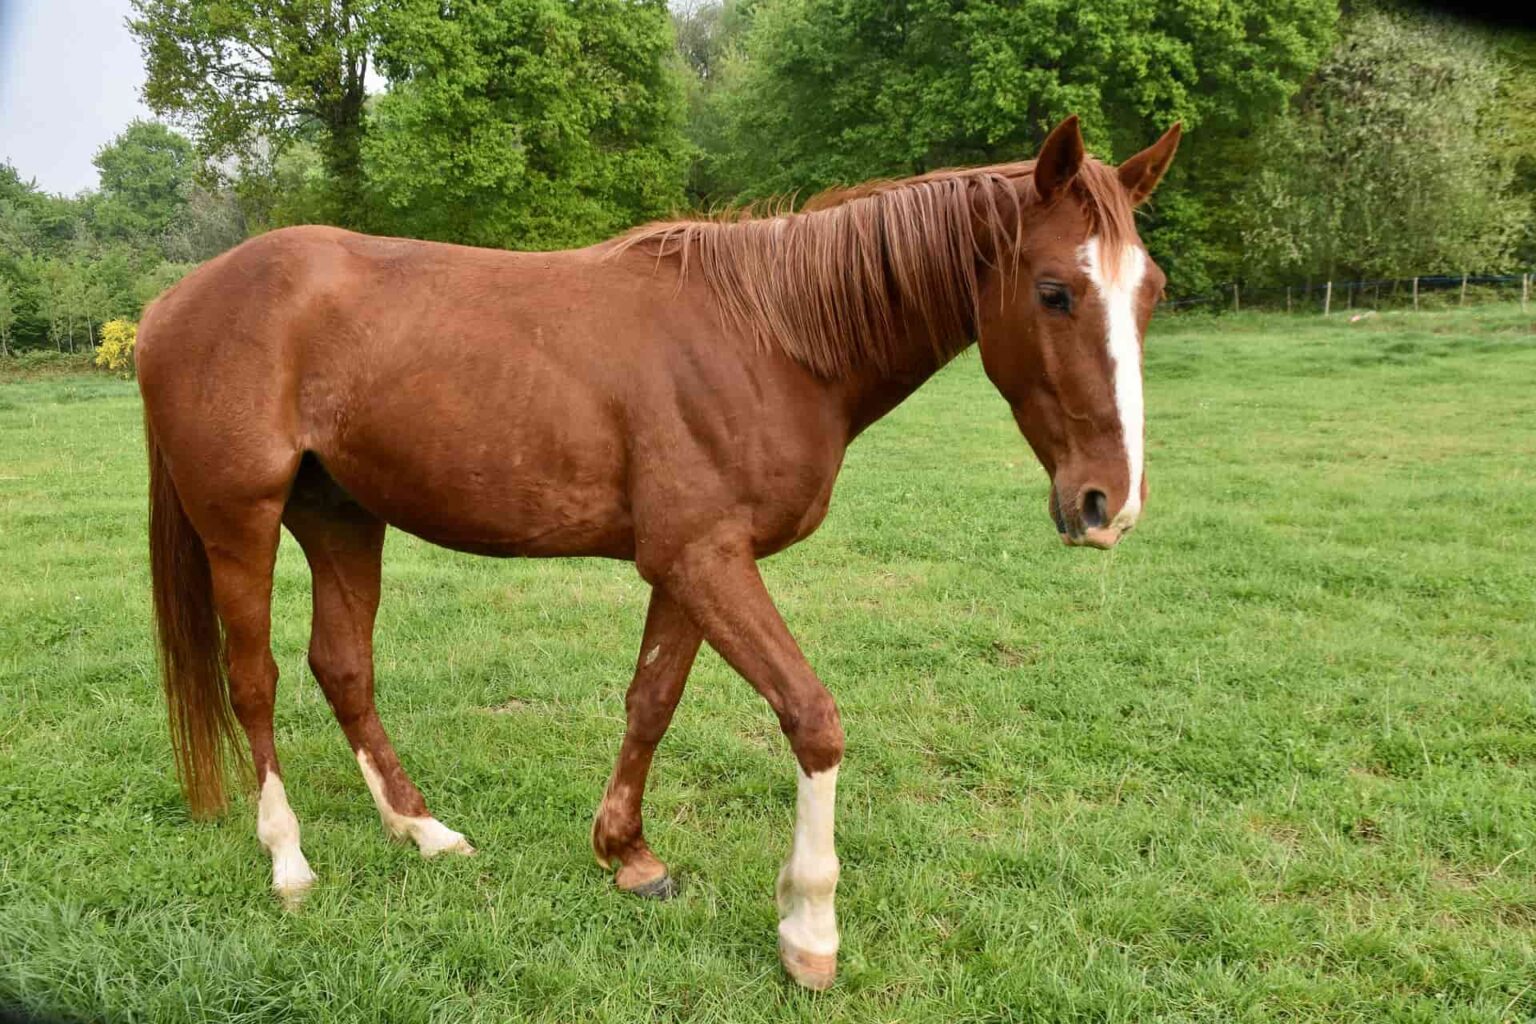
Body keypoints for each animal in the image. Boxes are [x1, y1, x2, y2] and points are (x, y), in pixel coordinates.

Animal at [135, 115, 1180, 989]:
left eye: (1152, 293)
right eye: (1055, 292)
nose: (1110, 505)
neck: (773, 341)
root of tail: (171, 305)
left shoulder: (691, 565)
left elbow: (652, 701)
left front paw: (628, 856)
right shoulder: (705, 560)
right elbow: (813, 718)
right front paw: (809, 930)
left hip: (342, 516)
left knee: (343, 666)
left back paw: (420, 828)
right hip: (242, 522)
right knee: (254, 680)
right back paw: (288, 860)